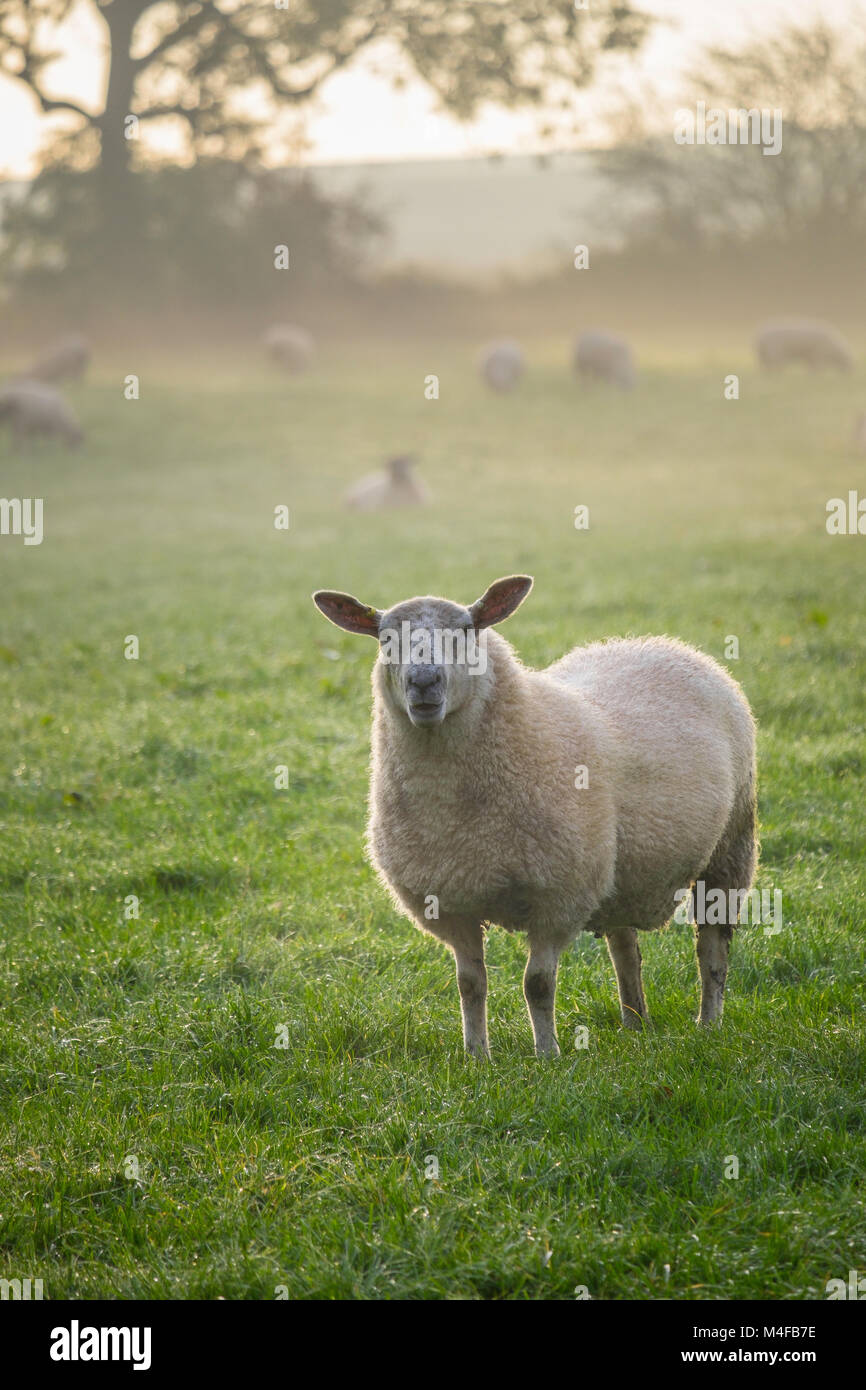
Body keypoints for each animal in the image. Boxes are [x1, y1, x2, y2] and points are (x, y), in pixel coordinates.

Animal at [313, 575, 757, 1059]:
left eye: (468, 630)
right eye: (383, 638)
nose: (424, 681)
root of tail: (662, 645)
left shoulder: (557, 897)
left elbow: (538, 985)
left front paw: (547, 1055)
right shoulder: (451, 902)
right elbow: (470, 984)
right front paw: (476, 1056)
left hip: (730, 847)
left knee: (712, 950)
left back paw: (708, 1023)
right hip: (618, 871)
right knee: (625, 947)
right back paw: (635, 1023)